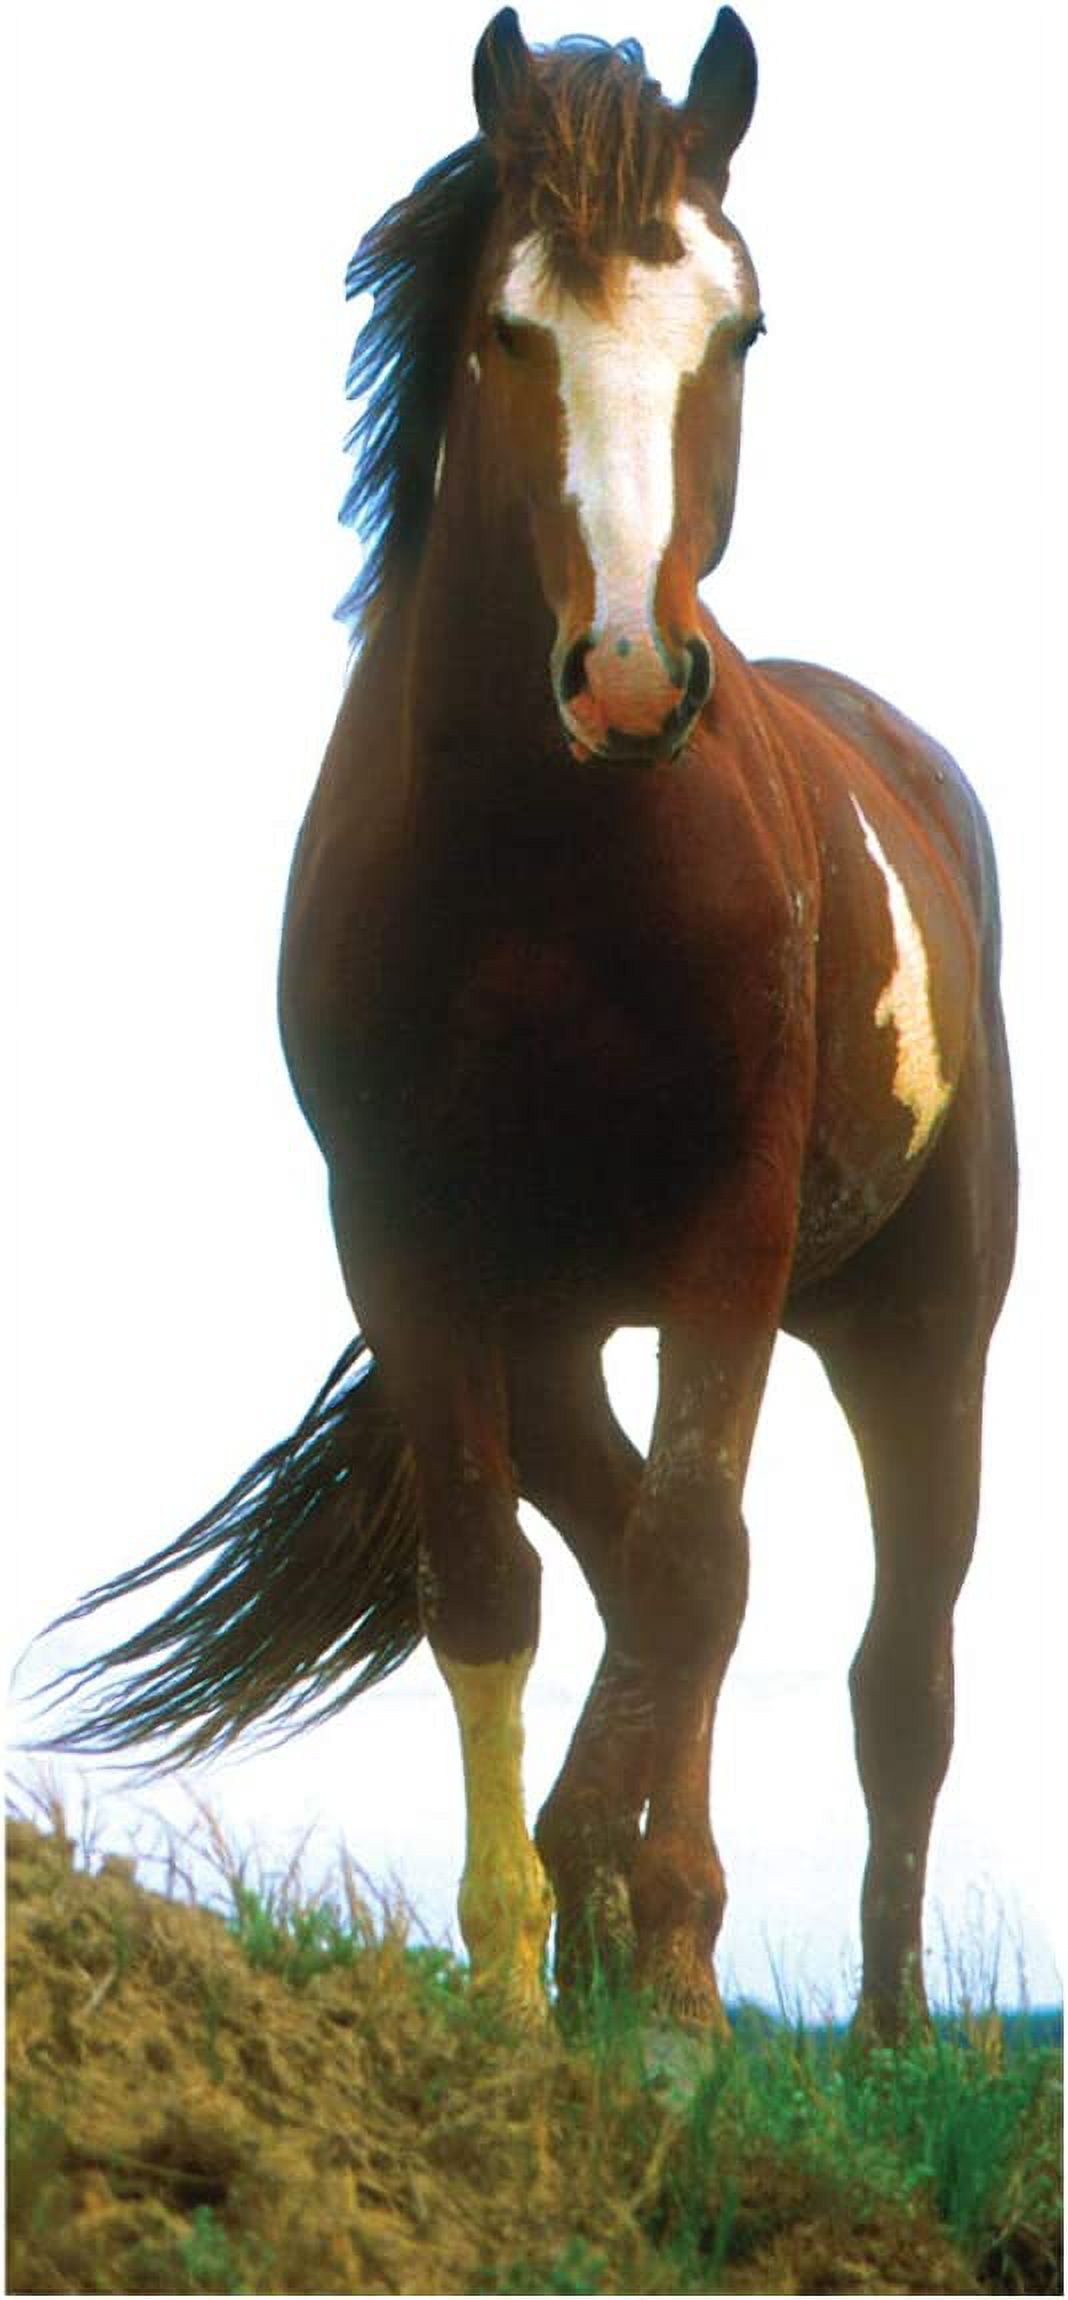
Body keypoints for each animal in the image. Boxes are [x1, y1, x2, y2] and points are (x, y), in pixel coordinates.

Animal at [45, 6, 1017, 2040]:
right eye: (509, 331)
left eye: (739, 331)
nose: (636, 677)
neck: (542, 881)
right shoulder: (410, 1246)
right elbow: (500, 1587)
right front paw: (514, 1985)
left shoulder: (729, 1239)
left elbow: (693, 1566)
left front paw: (653, 1973)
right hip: (567, 1330)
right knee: (648, 1559)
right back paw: (617, 1922)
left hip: (918, 1332)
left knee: (889, 1669)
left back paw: (871, 2021)